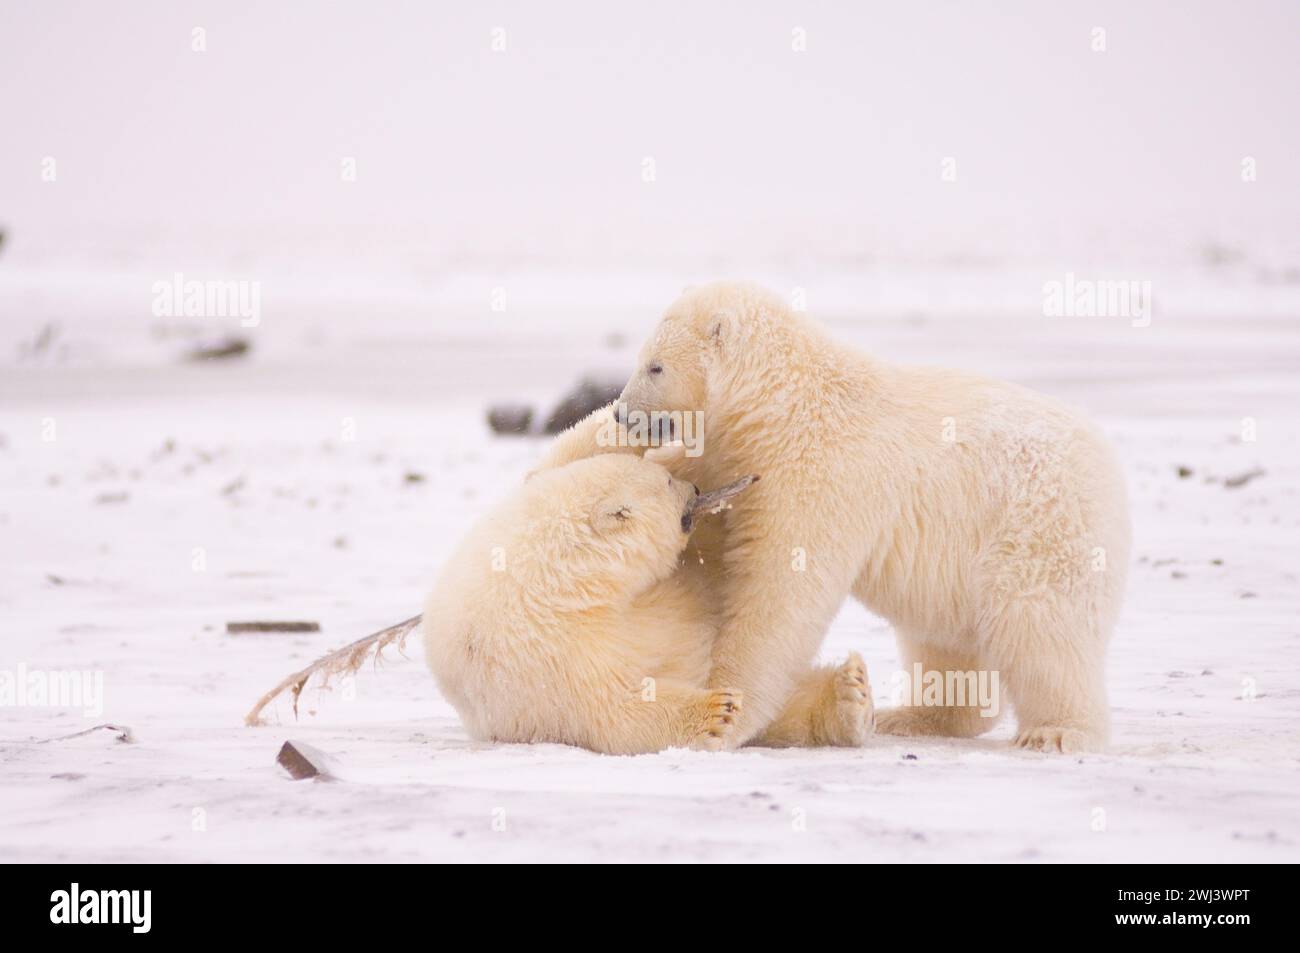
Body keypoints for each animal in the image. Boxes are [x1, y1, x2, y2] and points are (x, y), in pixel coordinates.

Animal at [422, 453, 874, 754]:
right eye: (668, 482)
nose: (696, 489)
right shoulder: (551, 650)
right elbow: (614, 709)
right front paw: (718, 709)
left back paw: (852, 690)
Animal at [573, 280, 1130, 753]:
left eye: (655, 367)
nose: (622, 414)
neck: (784, 402)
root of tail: (1105, 459)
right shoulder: (741, 452)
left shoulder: (818, 471)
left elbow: (781, 586)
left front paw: (729, 704)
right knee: (942, 638)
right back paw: (916, 715)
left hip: (1037, 523)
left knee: (1040, 625)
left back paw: (1056, 731)